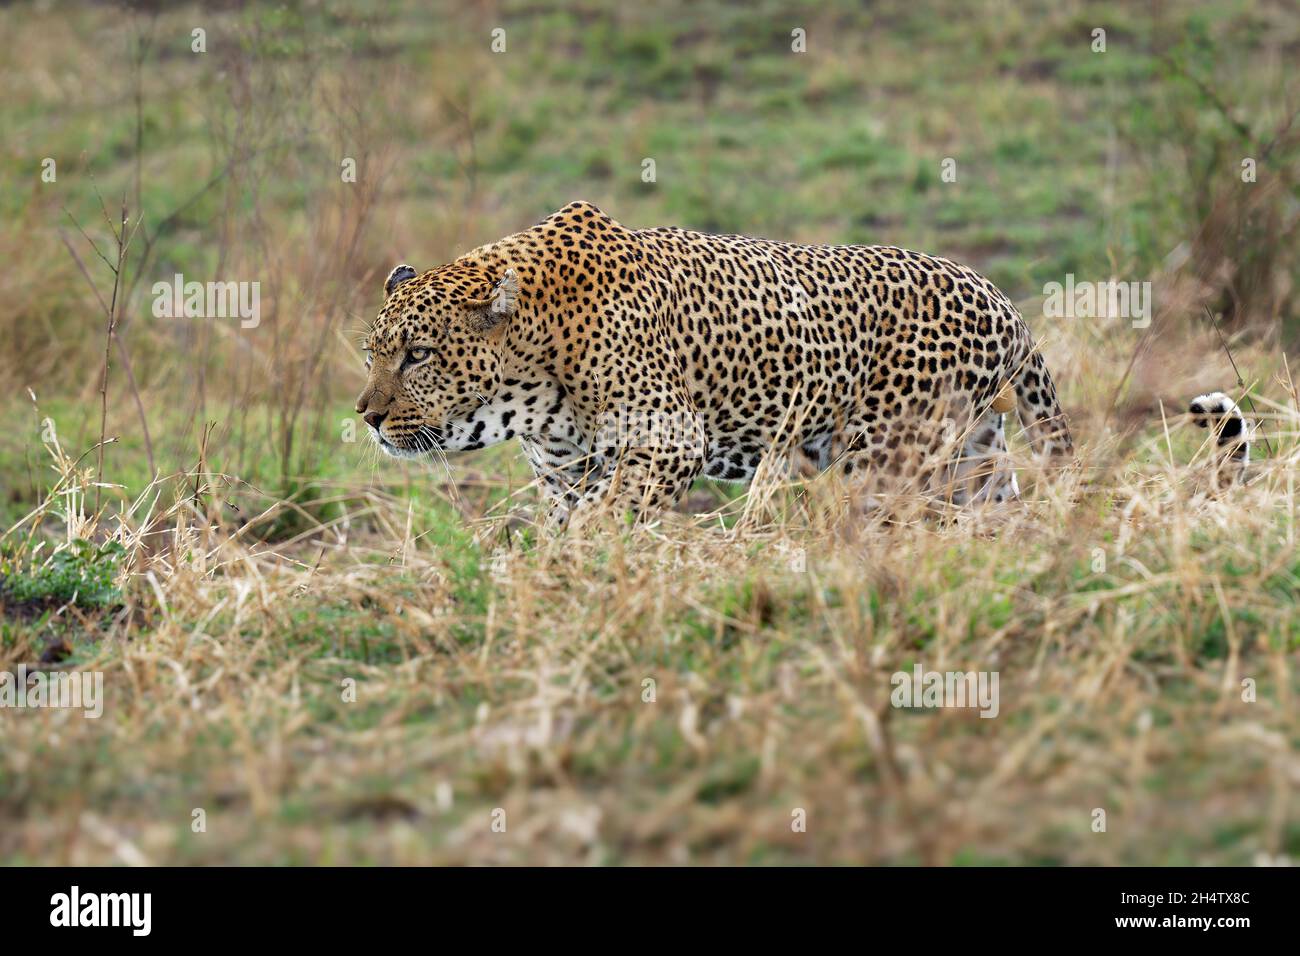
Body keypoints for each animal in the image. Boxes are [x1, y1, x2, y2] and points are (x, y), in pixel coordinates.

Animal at [355, 200, 1075, 524]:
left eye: (418, 355)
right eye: (372, 354)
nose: (365, 417)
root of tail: (999, 297)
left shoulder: (667, 441)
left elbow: (607, 520)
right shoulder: (564, 474)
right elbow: (567, 527)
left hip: (884, 458)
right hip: (976, 454)